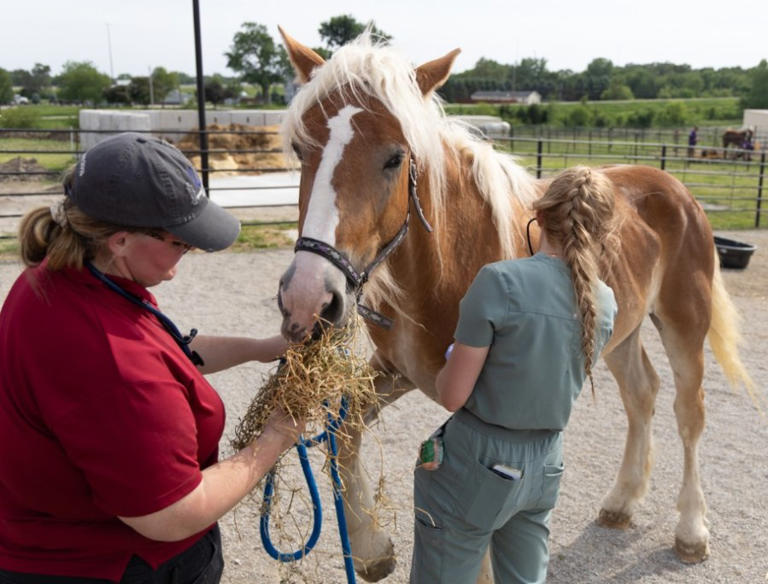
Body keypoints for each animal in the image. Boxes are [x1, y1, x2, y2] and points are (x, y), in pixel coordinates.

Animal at [275, 28, 753, 582]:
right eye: (300, 149)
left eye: (395, 157)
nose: (307, 297)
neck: (448, 263)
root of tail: (677, 188)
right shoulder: (399, 369)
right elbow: (343, 429)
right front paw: (372, 548)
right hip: (622, 334)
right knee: (642, 396)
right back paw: (622, 501)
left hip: (684, 324)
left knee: (688, 413)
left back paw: (692, 531)